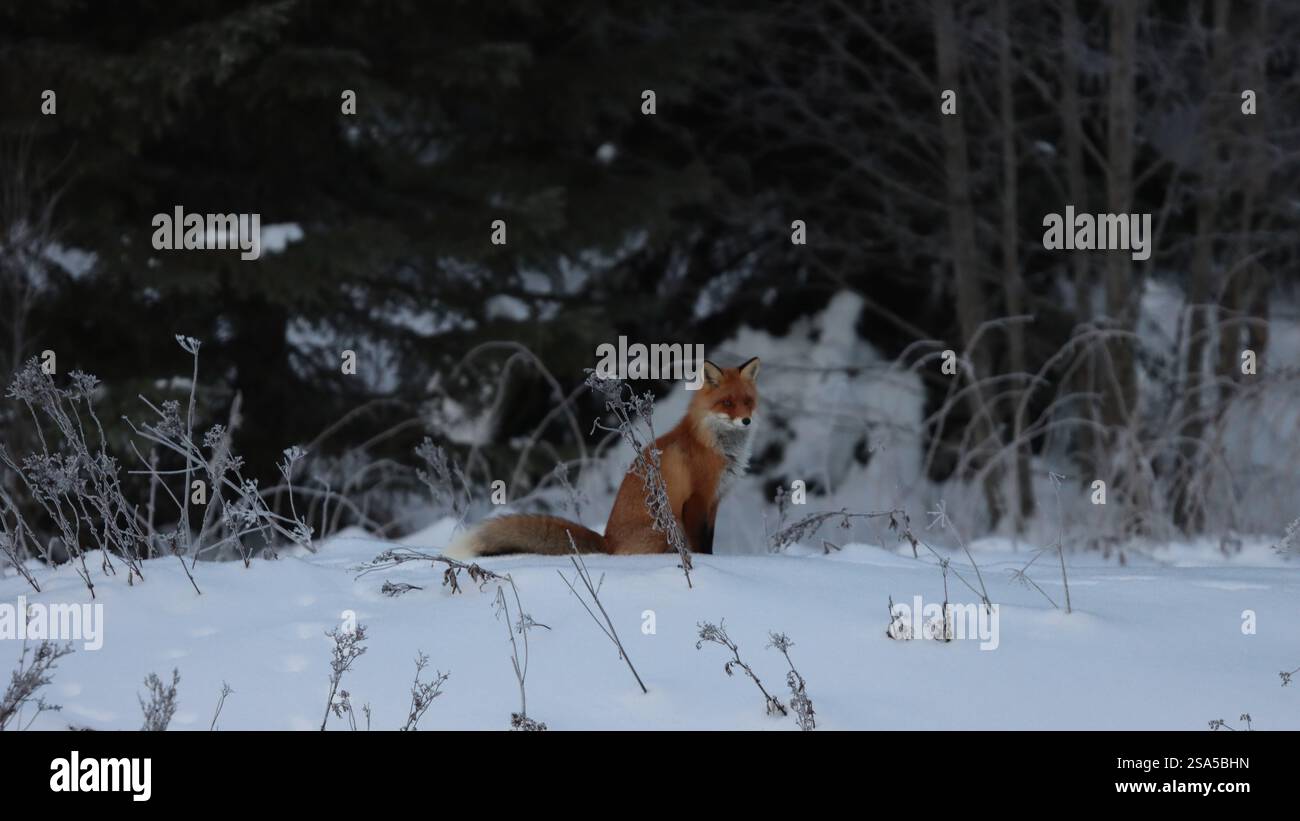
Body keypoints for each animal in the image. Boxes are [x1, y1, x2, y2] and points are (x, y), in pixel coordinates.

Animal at [445, 356, 761, 558]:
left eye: (747, 402)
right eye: (727, 403)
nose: (746, 421)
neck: (714, 443)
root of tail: (607, 542)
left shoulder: (714, 500)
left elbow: (710, 540)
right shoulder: (697, 501)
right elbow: (702, 546)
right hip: (666, 528)